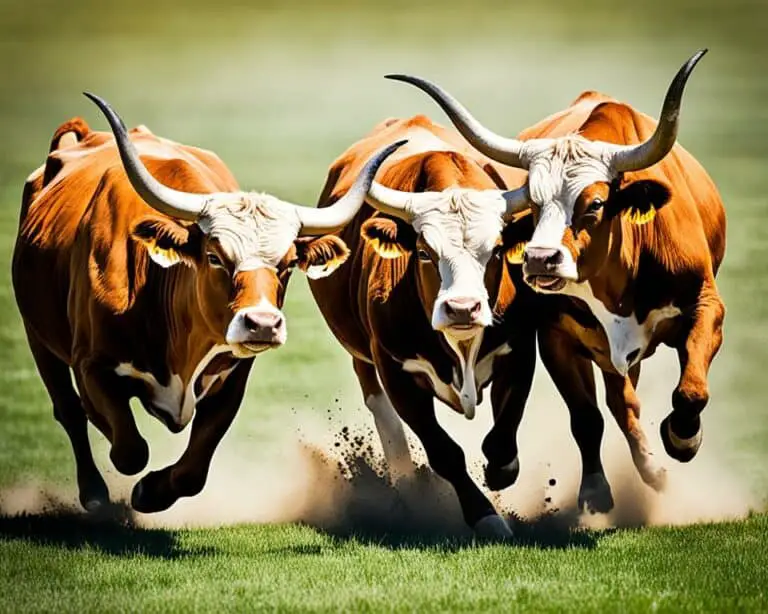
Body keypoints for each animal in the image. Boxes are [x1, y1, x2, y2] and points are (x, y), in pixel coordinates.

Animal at [12, 93, 404, 514]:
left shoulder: (233, 376)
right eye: (215, 257)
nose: (262, 324)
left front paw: (150, 490)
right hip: (37, 336)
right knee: (68, 410)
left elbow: (193, 470)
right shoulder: (91, 366)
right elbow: (129, 448)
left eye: (286, 265)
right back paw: (94, 493)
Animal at [309, 114, 539, 538]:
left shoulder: (519, 351)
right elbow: (444, 451)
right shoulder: (397, 372)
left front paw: (499, 472)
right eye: (424, 252)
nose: (463, 309)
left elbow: (503, 435)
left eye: (497, 249)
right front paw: (486, 516)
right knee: (379, 406)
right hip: (362, 357)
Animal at [386, 49, 727, 512]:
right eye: (532, 199)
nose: (539, 259)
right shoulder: (556, 338)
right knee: (621, 404)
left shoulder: (706, 307)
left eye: (596, 203)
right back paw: (648, 469)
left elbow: (690, 390)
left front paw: (682, 438)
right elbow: (587, 417)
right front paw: (596, 491)